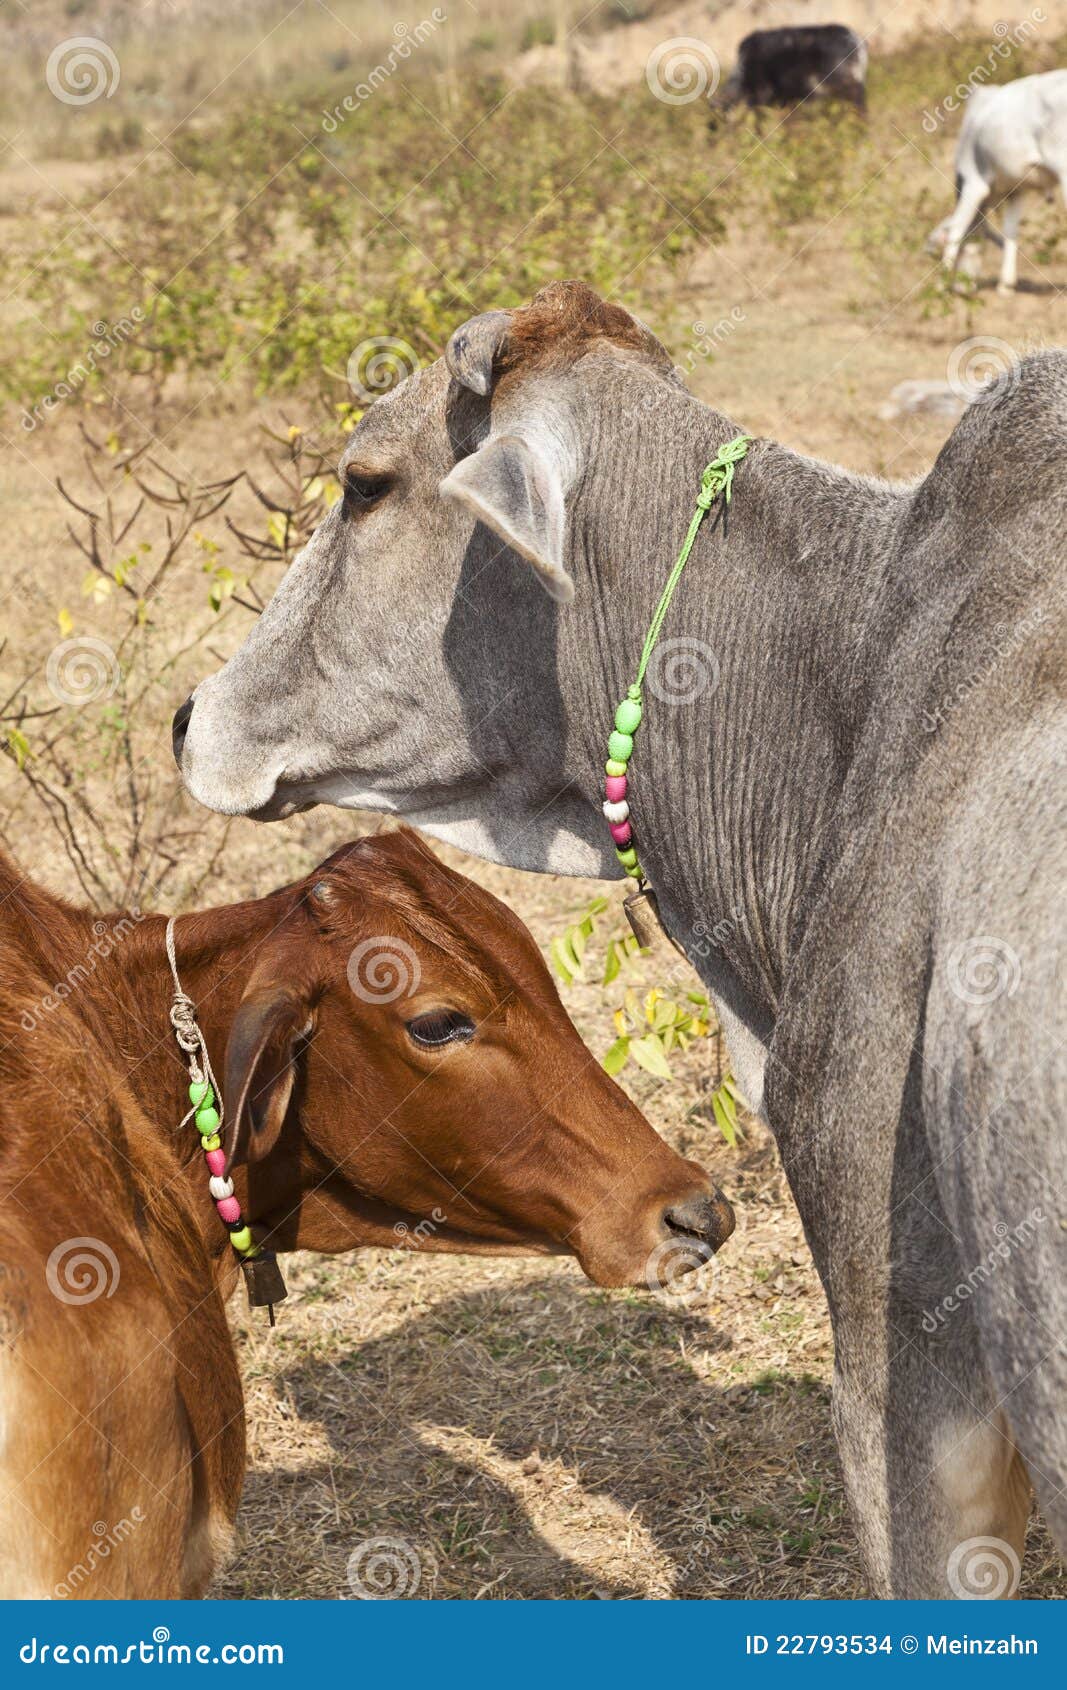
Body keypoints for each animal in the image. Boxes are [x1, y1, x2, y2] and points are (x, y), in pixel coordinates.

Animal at [928, 70, 1067, 295]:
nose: (961, 287)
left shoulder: (974, 184)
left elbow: (956, 230)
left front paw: (941, 284)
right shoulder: (1016, 192)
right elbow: (1011, 233)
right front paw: (1006, 285)